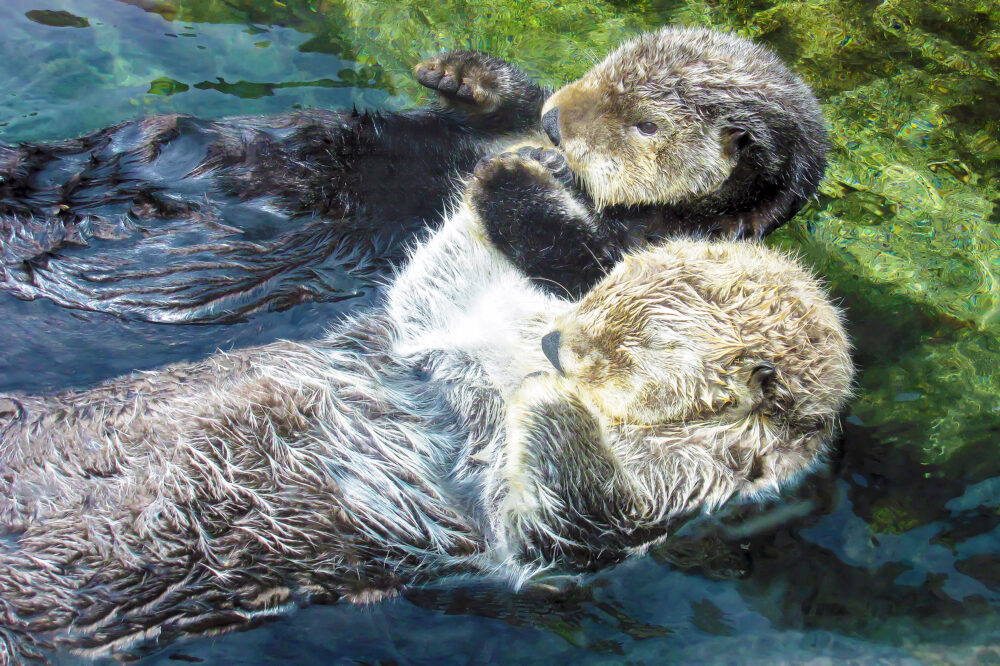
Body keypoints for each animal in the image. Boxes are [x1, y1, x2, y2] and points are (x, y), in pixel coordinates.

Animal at [0, 28, 826, 322]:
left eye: (647, 125)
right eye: (603, 66)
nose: (557, 126)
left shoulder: (658, 251)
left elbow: (575, 262)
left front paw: (511, 173)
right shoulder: (499, 117)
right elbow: (504, 99)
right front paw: (456, 72)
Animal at [0, 148, 852, 662]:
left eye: (636, 345)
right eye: (604, 293)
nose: (554, 348)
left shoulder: (675, 490)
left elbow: (565, 523)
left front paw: (549, 397)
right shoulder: (429, 337)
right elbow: (433, 289)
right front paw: (523, 173)